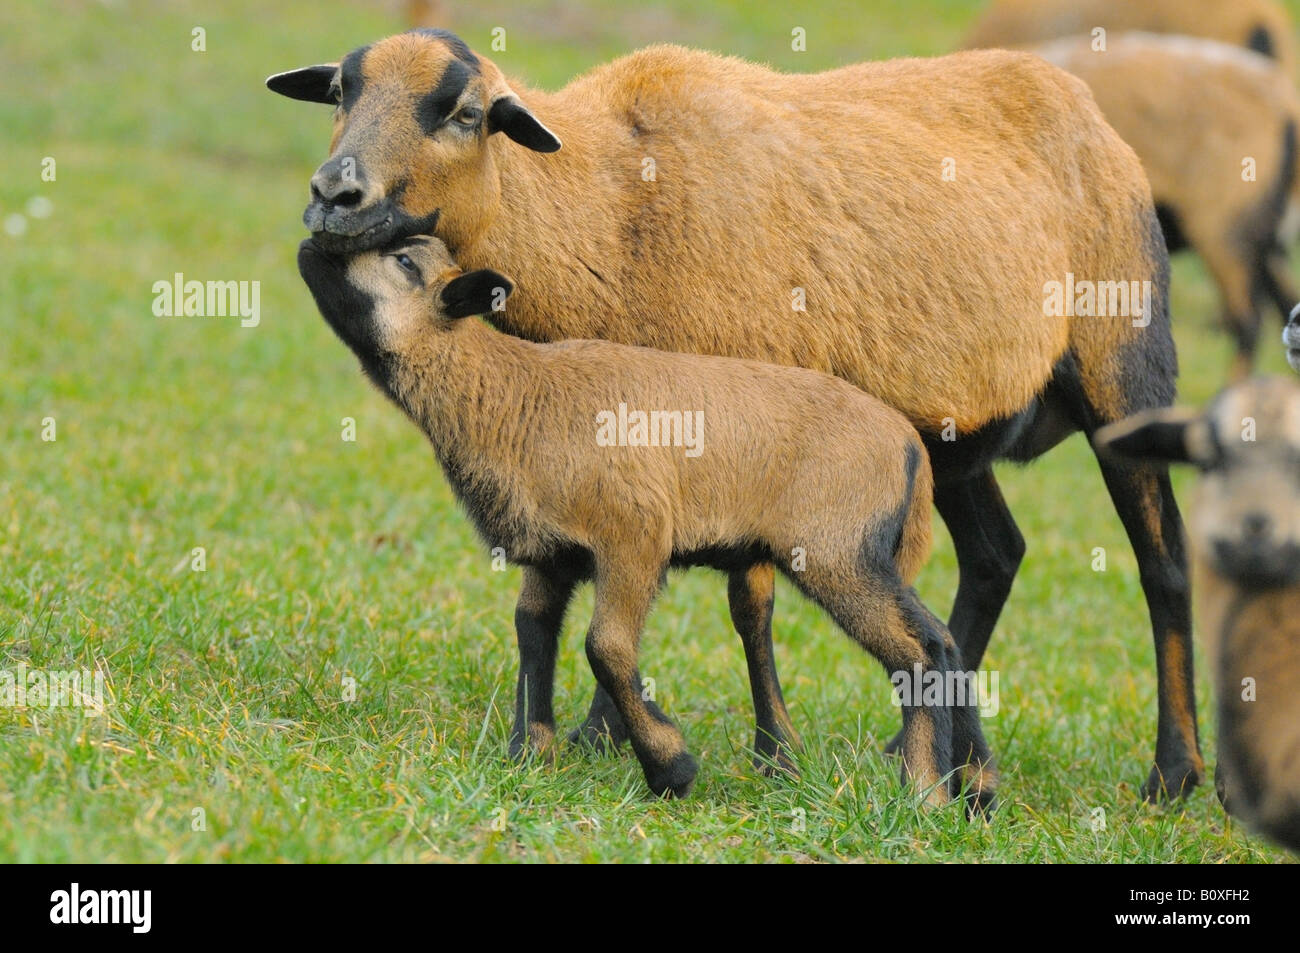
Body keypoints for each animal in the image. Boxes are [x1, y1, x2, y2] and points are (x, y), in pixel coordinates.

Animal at [295, 233, 997, 808]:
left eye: (404, 263)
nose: (310, 243)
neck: (512, 397)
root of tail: (909, 448)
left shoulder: (633, 535)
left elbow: (604, 647)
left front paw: (670, 769)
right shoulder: (551, 555)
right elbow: (533, 632)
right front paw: (530, 754)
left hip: (835, 548)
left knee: (916, 649)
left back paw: (924, 794)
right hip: (860, 552)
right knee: (942, 639)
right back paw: (977, 788)